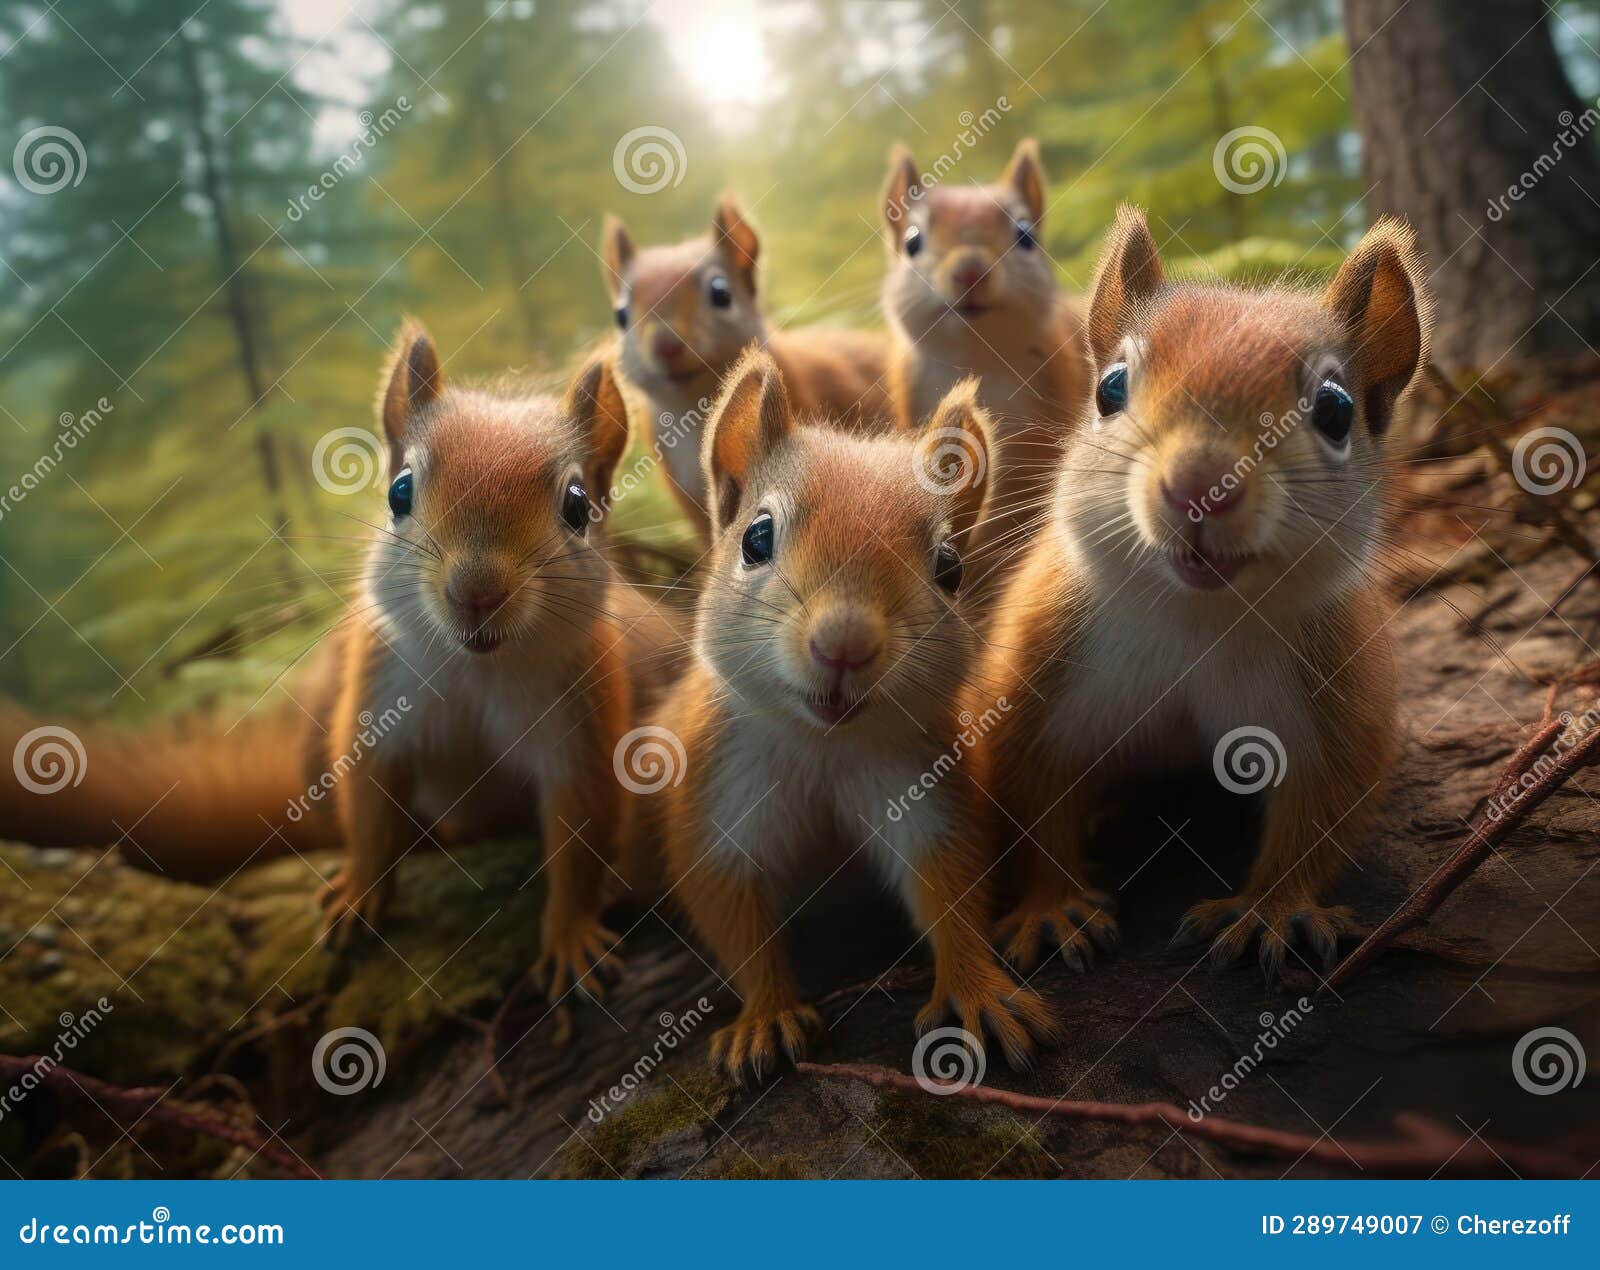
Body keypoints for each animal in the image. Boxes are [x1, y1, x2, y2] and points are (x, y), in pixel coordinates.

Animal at [1, 324, 686, 1005]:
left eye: (577, 505)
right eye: (399, 492)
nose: (476, 593)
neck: (475, 669)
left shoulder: (584, 716)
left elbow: (580, 837)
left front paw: (571, 935)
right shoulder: (375, 698)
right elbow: (369, 808)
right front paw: (358, 895)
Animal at [653, 346, 1058, 1085]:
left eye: (949, 568)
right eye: (756, 538)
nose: (845, 644)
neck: (823, 746)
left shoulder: (920, 782)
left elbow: (950, 883)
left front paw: (977, 988)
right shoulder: (717, 800)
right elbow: (733, 914)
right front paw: (765, 1016)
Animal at [966, 206, 1426, 979]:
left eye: (1335, 410)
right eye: (1110, 389)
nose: (1199, 487)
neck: (1197, 617)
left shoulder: (1334, 700)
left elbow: (1318, 814)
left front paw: (1271, 910)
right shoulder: (1034, 679)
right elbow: (1030, 800)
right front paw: (1050, 909)